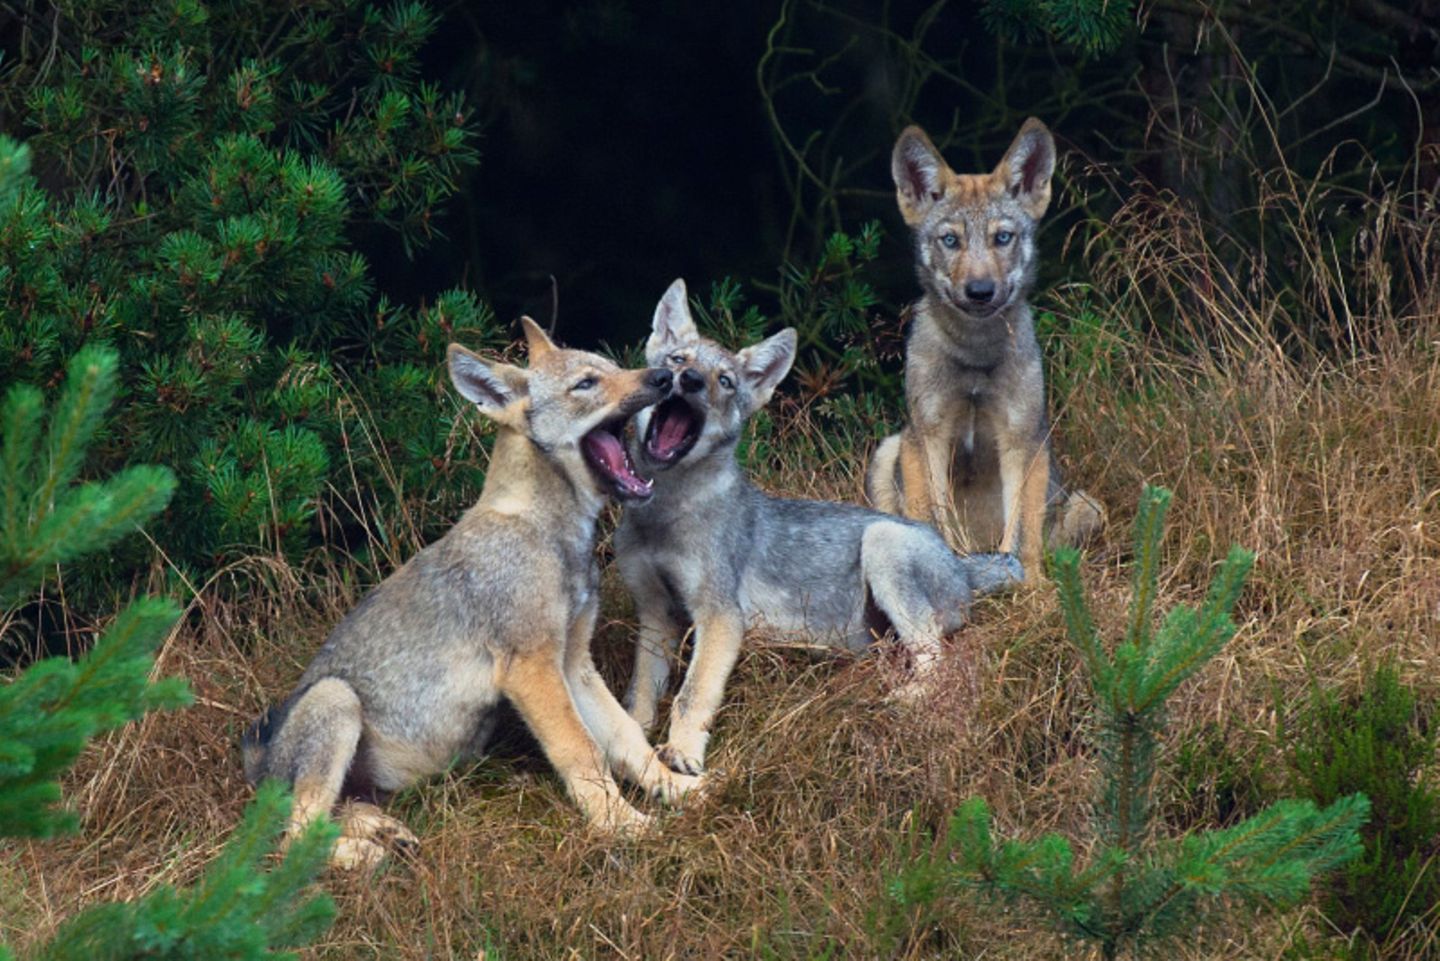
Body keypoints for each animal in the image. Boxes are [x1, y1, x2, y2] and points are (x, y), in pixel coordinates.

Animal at [242, 318, 702, 869]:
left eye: (614, 367)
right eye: (586, 384)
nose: (664, 376)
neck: (548, 533)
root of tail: (257, 766)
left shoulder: (573, 663)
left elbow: (628, 738)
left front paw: (677, 789)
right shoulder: (533, 670)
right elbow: (583, 751)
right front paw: (623, 826)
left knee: (334, 816)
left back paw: (387, 832)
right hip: (336, 699)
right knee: (290, 843)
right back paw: (368, 855)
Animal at [614, 280, 1024, 775]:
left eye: (725, 381)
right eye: (678, 360)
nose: (689, 380)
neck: (664, 515)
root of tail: (962, 567)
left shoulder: (719, 617)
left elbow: (691, 696)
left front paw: (682, 753)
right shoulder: (656, 615)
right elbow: (639, 697)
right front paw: (631, 744)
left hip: (883, 544)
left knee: (937, 663)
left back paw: (899, 699)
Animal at [863, 118, 1104, 578]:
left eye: (1002, 238)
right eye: (950, 241)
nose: (979, 291)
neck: (975, 356)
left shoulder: (1022, 441)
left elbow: (1022, 533)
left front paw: (1029, 588)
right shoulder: (928, 437)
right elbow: (929, 514)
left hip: (1088, 505)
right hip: (890, 451)